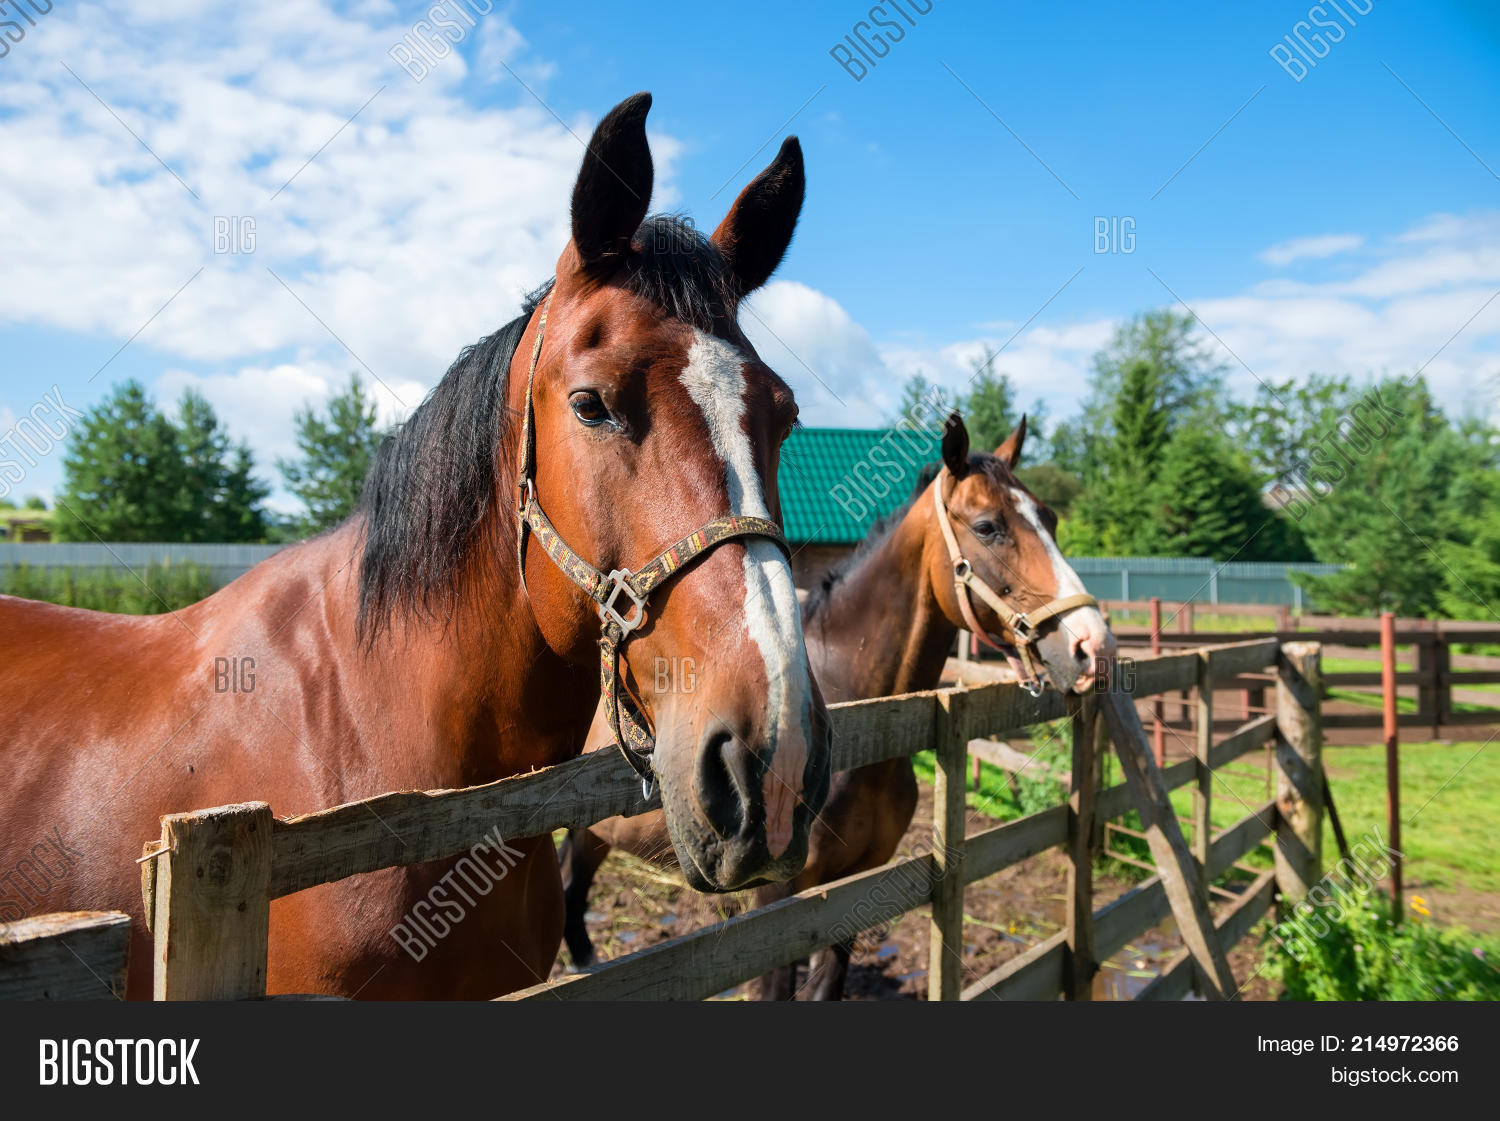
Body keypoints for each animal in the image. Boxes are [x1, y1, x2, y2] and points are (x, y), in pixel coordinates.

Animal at [557, 411, 1116, 998]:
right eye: (988, 527)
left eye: (1051, 519)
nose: (1093, 644)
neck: (870, 724)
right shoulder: (776, 902)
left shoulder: (854, 887)